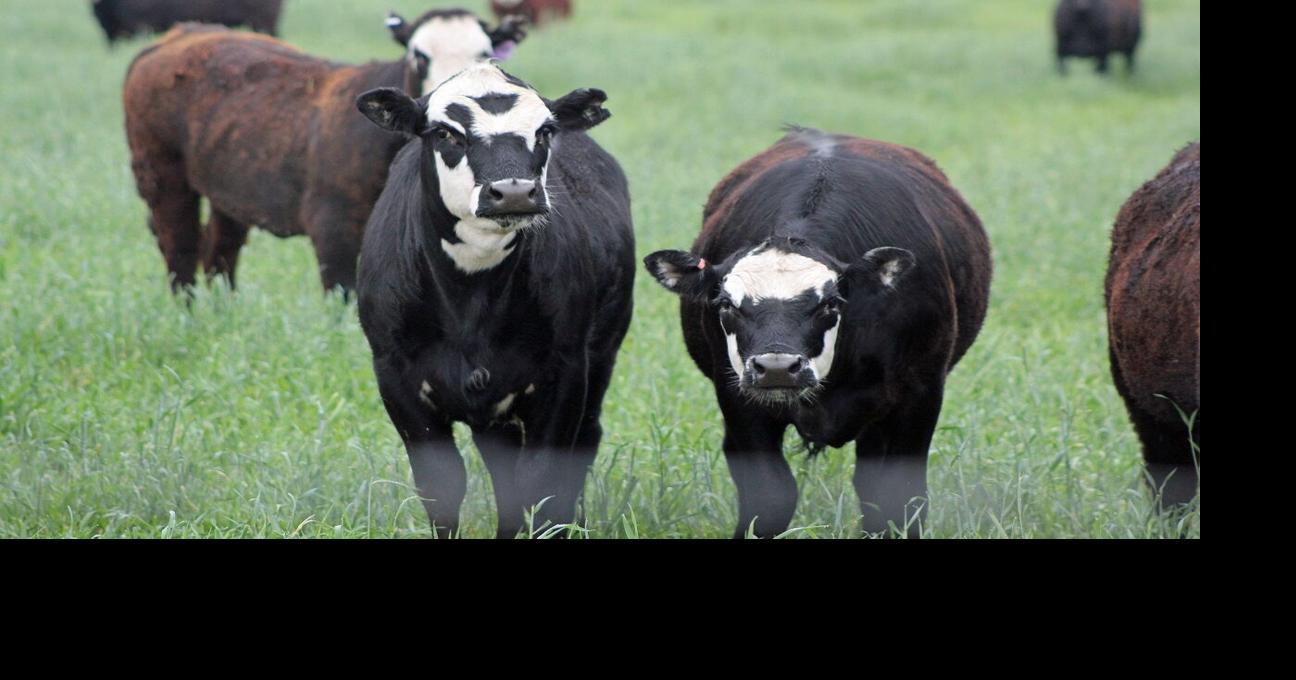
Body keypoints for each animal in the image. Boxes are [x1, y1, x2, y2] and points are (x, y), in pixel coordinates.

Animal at [122, 9, 527, 294]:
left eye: (486, 55)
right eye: (419, 56)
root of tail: (178, 35)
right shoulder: (333, 227)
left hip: (226, 189)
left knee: (220, 252)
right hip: (162, 174)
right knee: (180, 248)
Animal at [354, 63, 634, 538]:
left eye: (544, 131)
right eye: (445, 133)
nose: (515, 191)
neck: (471, 303)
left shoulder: (565, 372)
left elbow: (543, 483)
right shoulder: (394, 375)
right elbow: (443, 486)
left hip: (601, 356)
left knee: (583, 442)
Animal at [644, 127, 992, 538]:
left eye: (829, 304)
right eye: (727, 304)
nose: (776, 367)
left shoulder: (919, 394)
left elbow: (900, 499)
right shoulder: (738, 401)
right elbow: (769, 498)